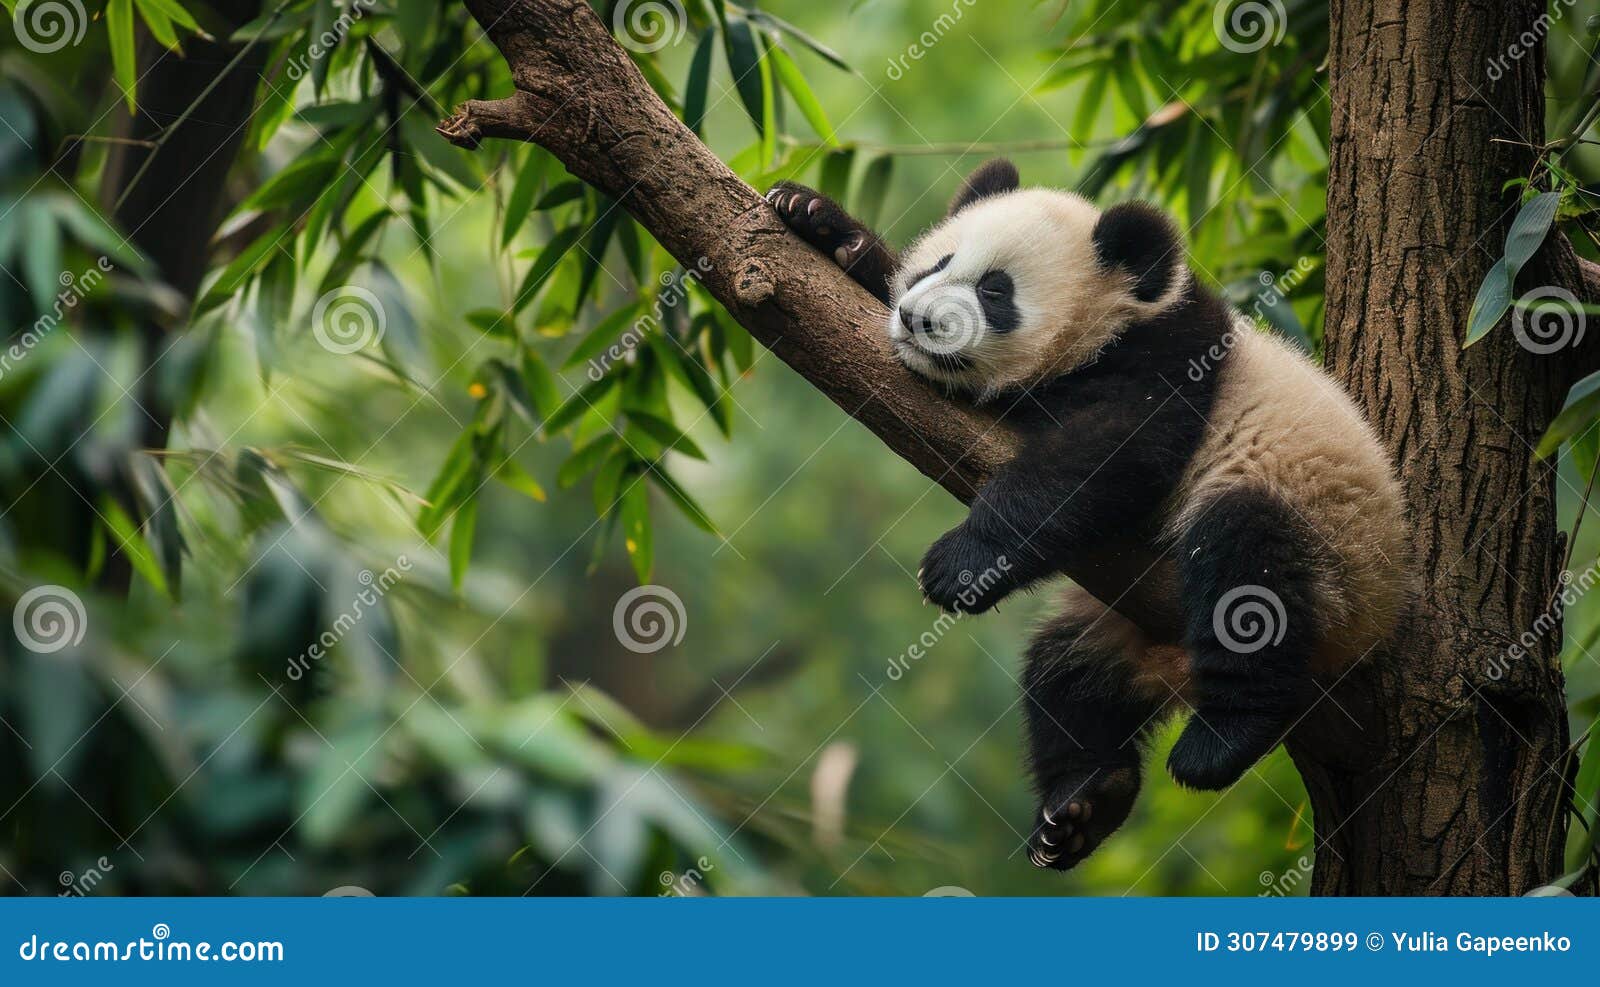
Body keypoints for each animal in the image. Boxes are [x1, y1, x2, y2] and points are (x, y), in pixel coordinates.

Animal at [766, 159, 1411, 871]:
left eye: (996, 291)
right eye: (938, 263)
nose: (915, 318)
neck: (1115, 321)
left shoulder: (1170, 361)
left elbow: (1100, 458)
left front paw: (960, 564)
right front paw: (818, 220)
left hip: (1331, 547)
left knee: (1248, 568)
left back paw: (1220, 742)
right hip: (1114, 625)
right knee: (1066, 675)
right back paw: (1084, 803)